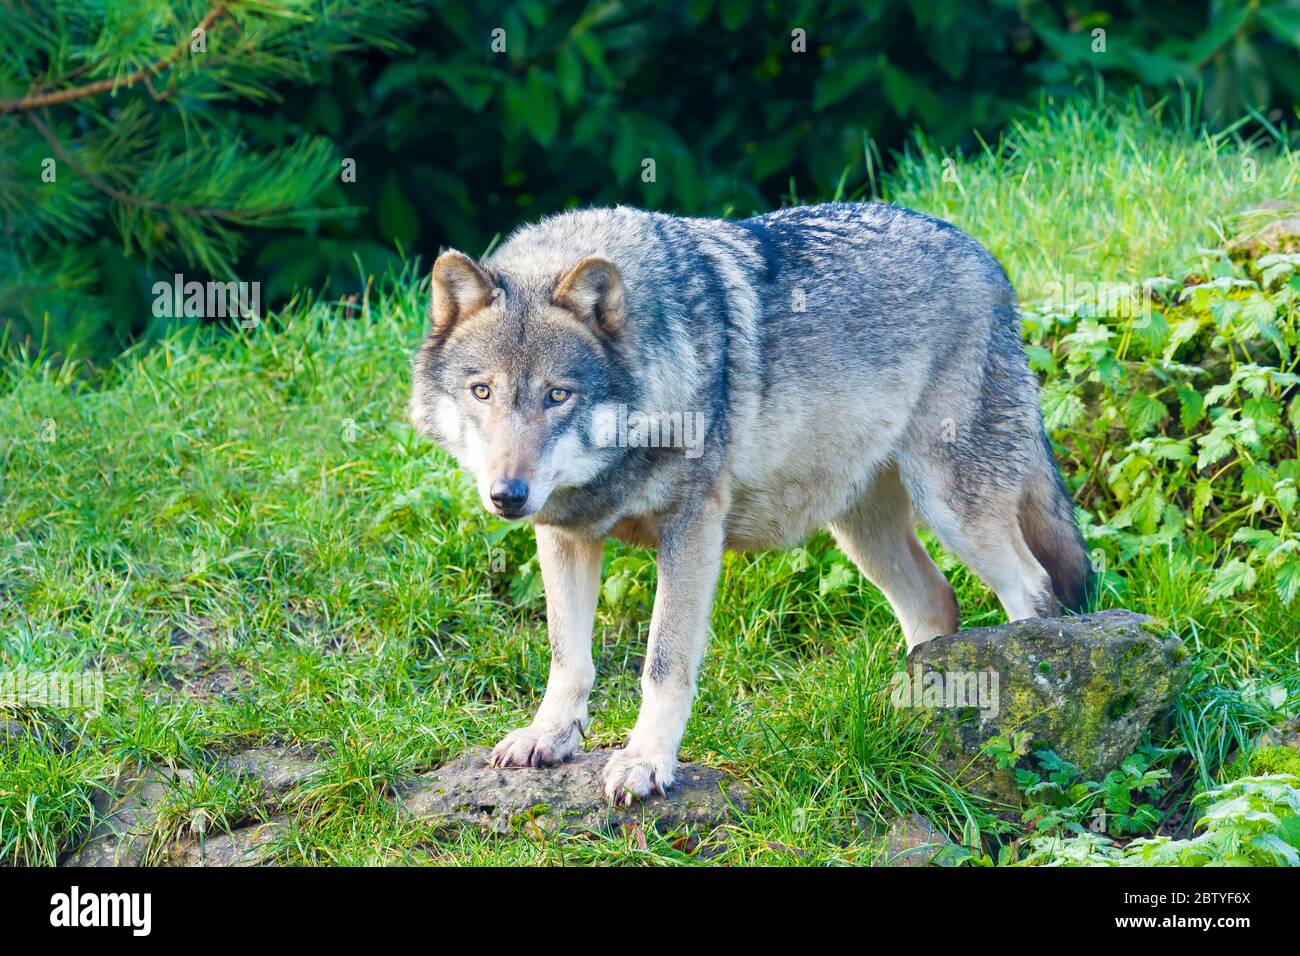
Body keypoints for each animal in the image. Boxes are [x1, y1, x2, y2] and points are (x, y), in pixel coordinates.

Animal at [409, 202, 1090, 805]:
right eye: (482, 391)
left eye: (558, 395)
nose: (507, 494)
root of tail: (988, 260)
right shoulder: (565, 533)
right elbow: (567, 656)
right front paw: (548, 738)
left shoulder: (692, 528)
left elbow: (663, 663)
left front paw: (645, 762)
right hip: (863, 533)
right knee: (936, 604)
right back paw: (912, 718)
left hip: (954, 511)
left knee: (1032, 589)